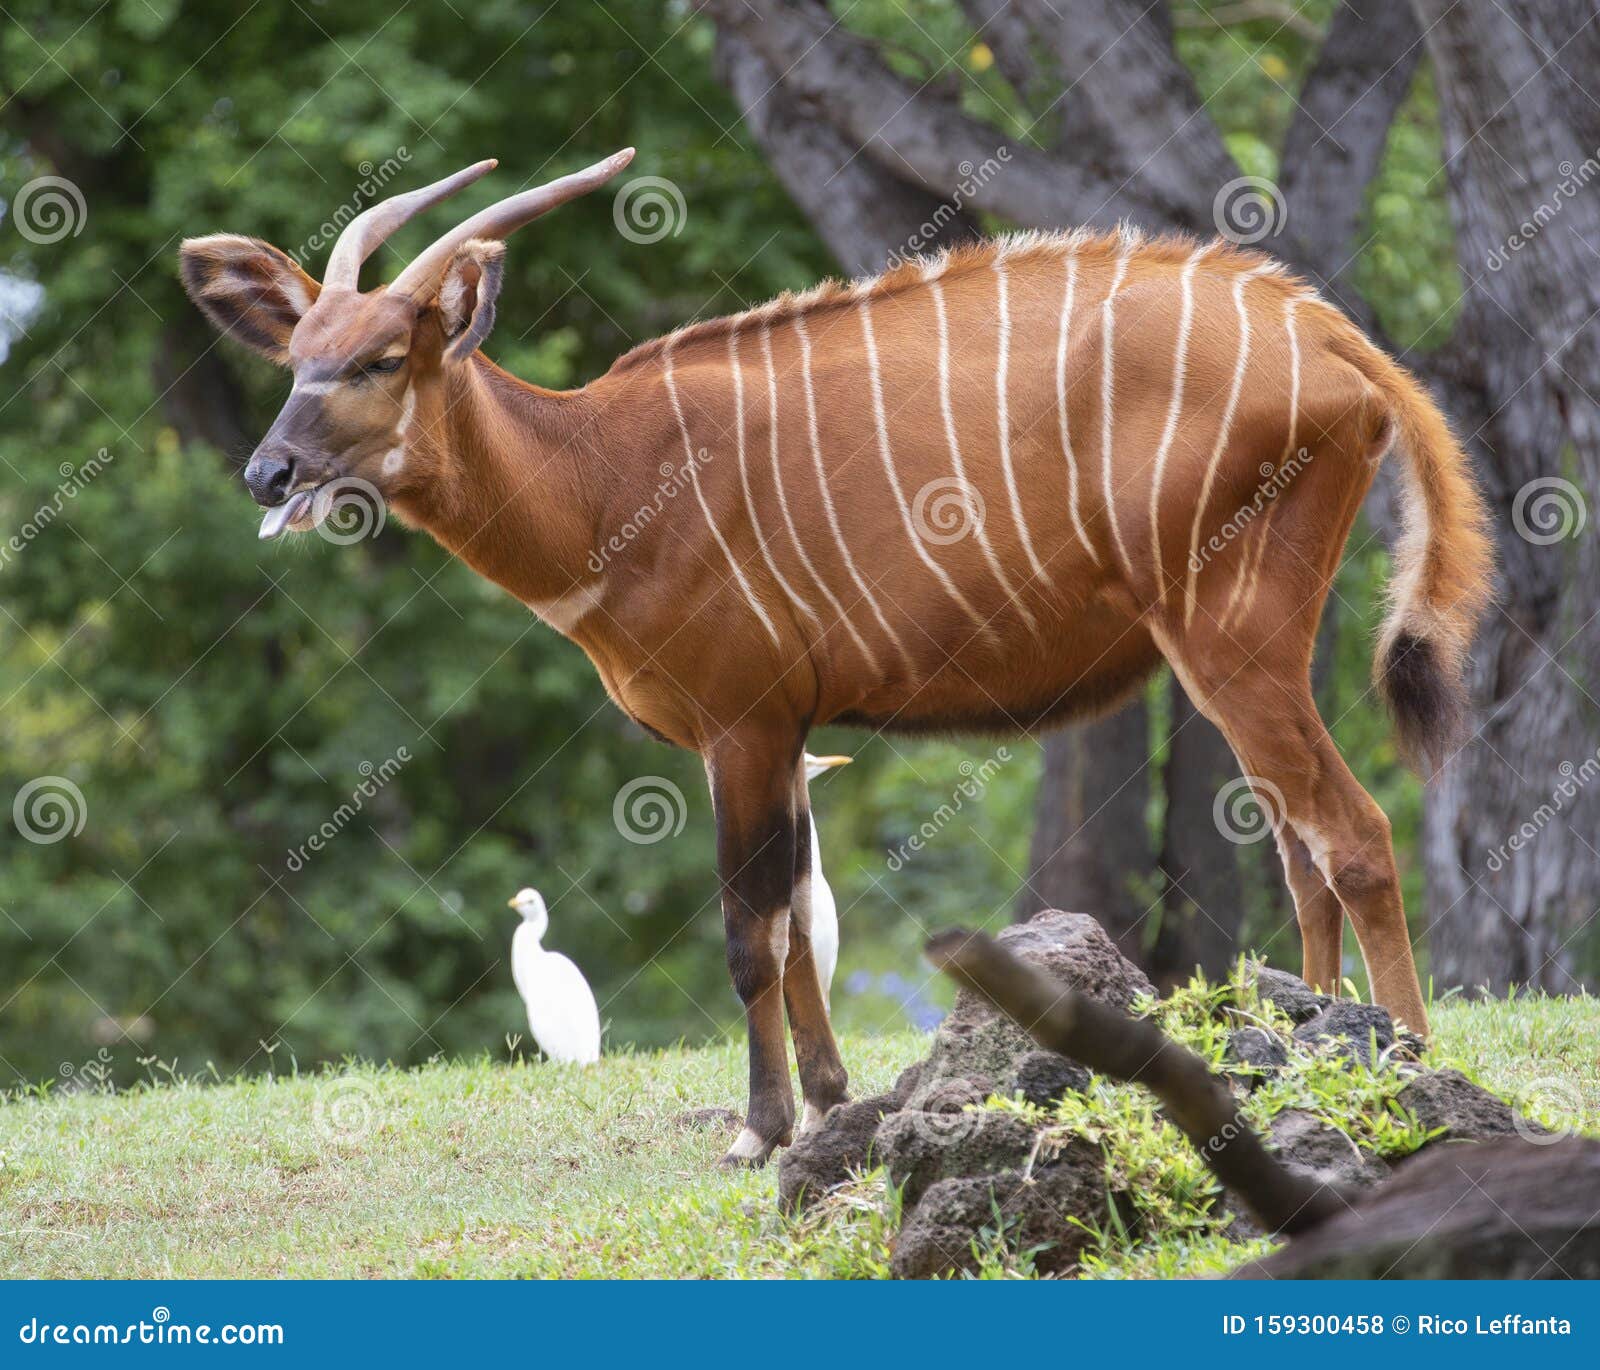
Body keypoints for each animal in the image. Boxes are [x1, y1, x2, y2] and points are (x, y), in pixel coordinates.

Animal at [181, 153, 1492, 1167]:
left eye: (380, 358)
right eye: (298, 353)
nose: (267, 472)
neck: (602, 474)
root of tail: (1328, 334)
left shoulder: (743, 723)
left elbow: (750, 930)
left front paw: (760, 1128)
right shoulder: (782, 734)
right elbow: (800, 926)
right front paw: (827, 1104)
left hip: (1229, 639)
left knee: (1355, 832)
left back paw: (1409, 1062)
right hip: (1252, 652)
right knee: (1302, 846)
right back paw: (1318, 1036)